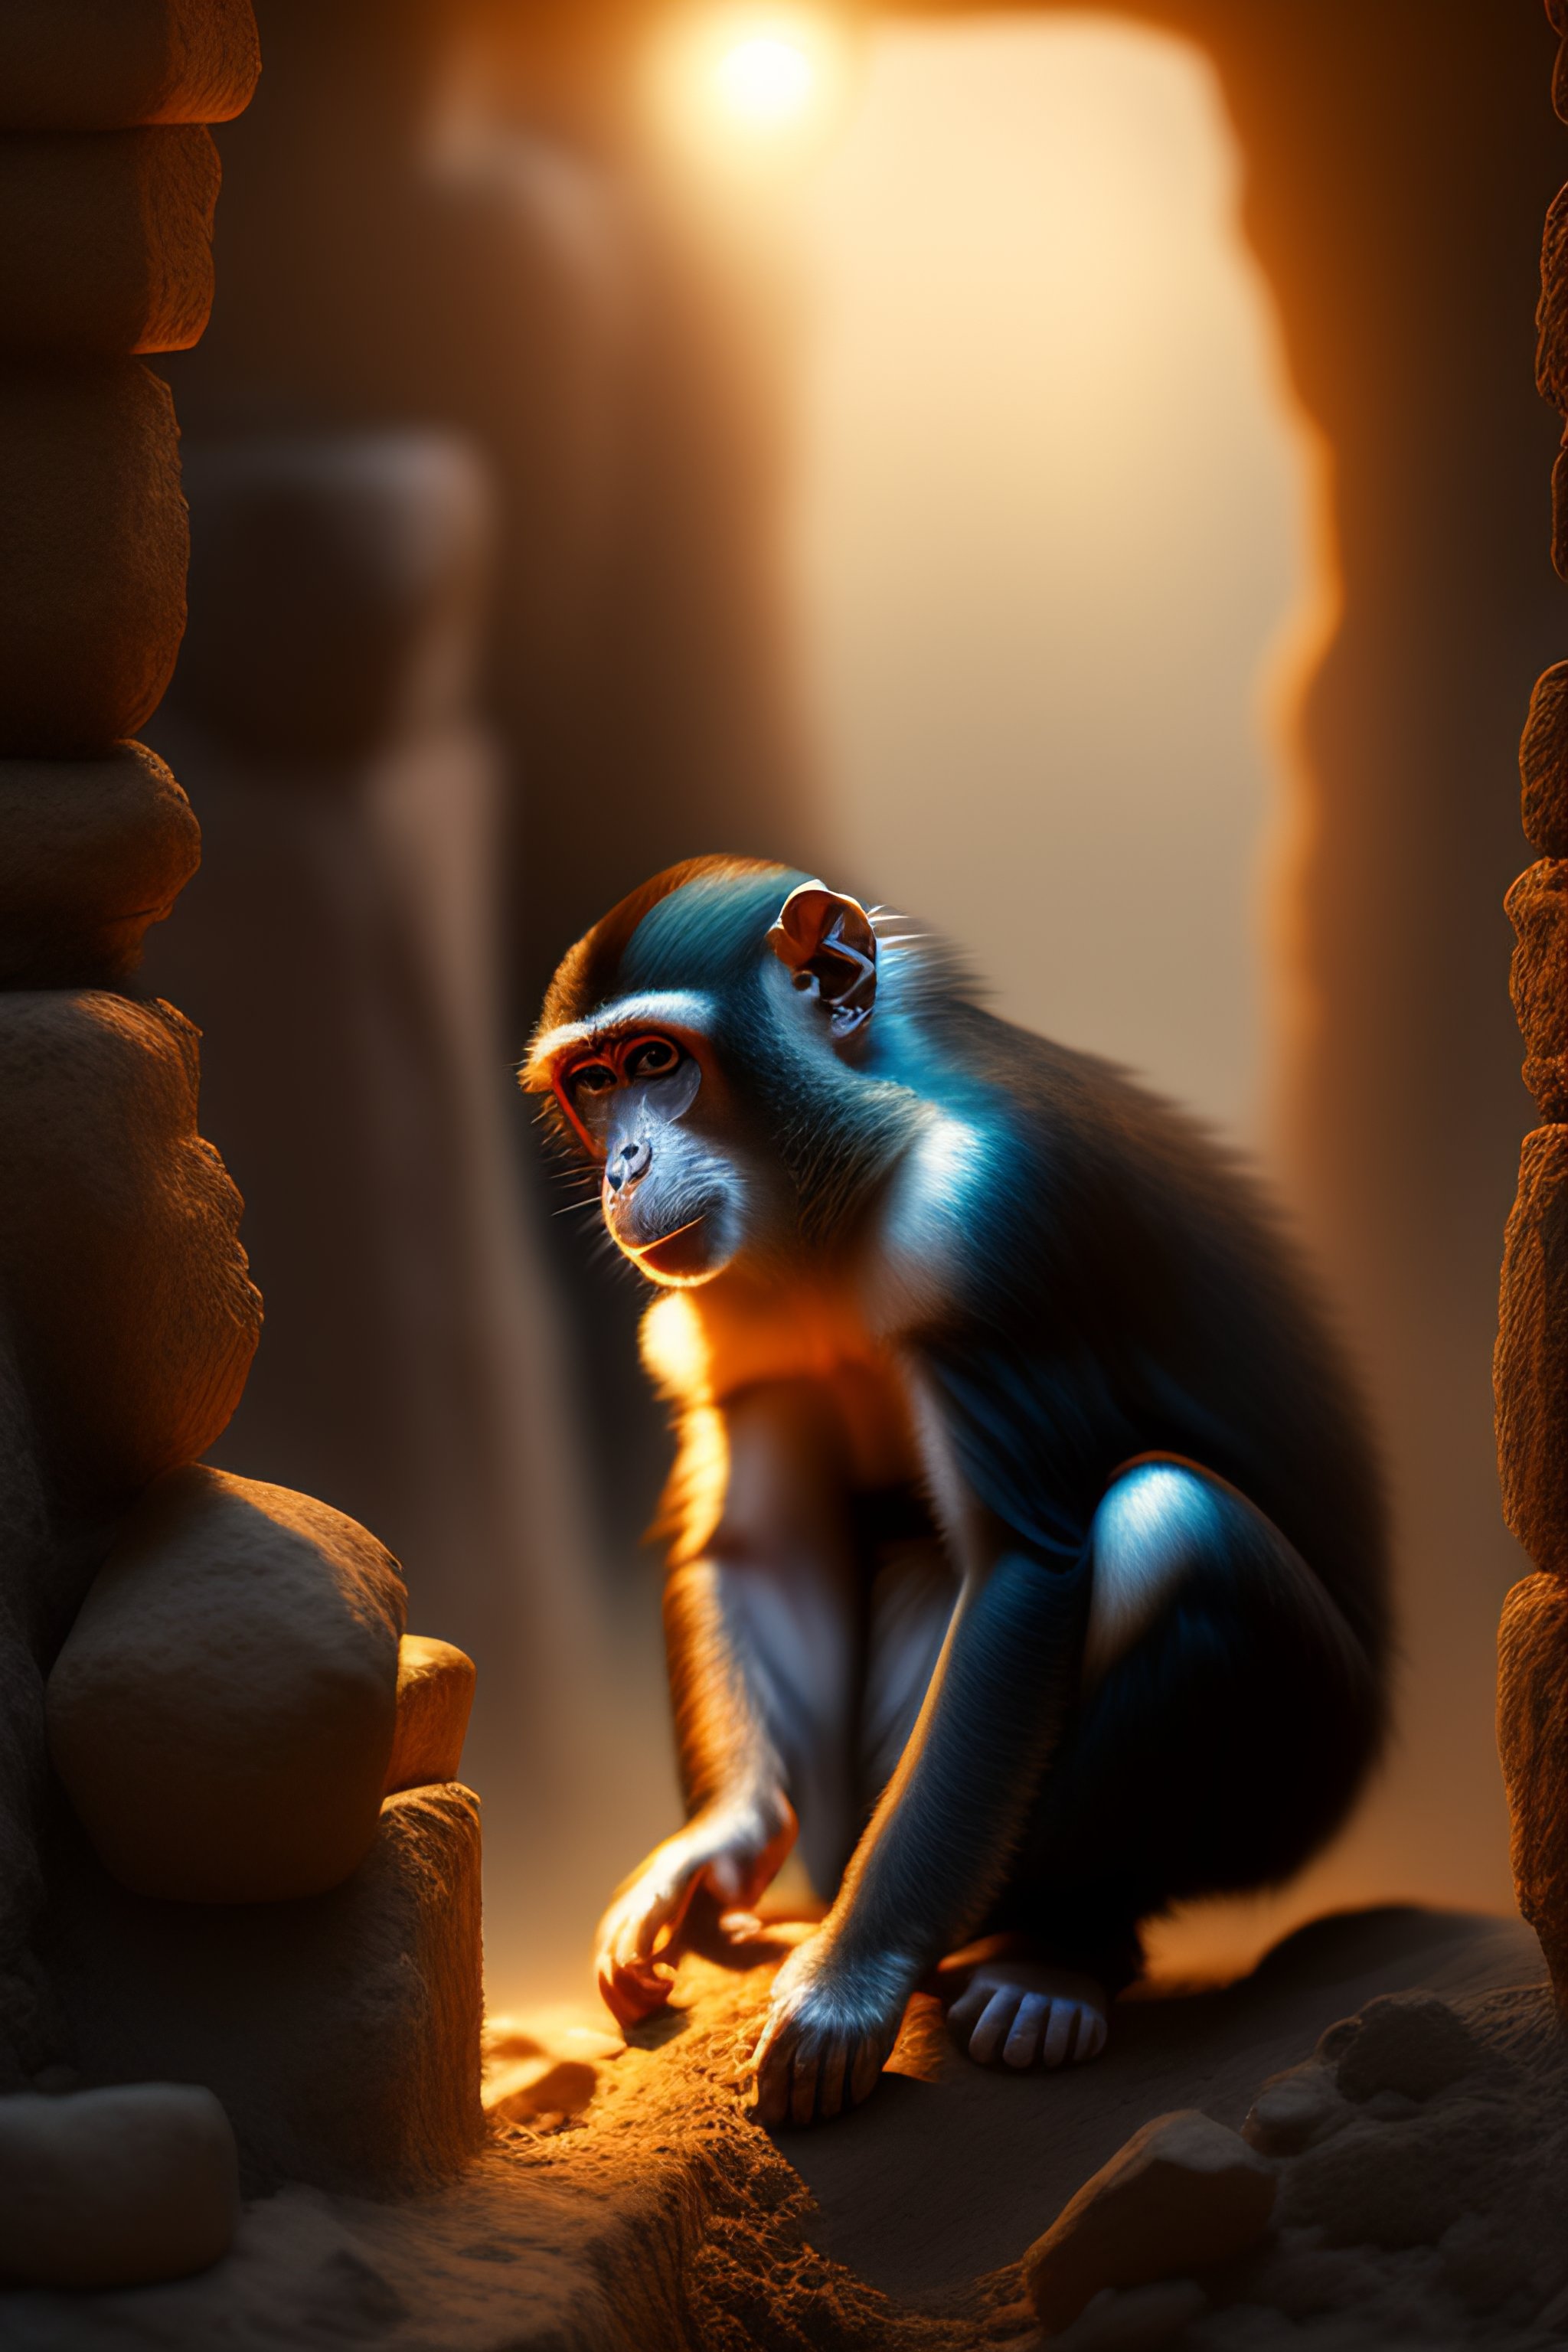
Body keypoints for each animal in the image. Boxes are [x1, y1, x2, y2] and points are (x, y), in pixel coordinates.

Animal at [523, 856, 1389, 2129]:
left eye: (656, 1062)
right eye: (592, 1082)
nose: (625, 1165)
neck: (841, 1170)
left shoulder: (984, 1223)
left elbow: (1020, 1571)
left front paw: (847, 1982)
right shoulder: (731, 1299)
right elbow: (765, 1551)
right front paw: (708, 1853)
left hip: (1304, 1777)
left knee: (1174, 1527)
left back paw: (1053, 1956)